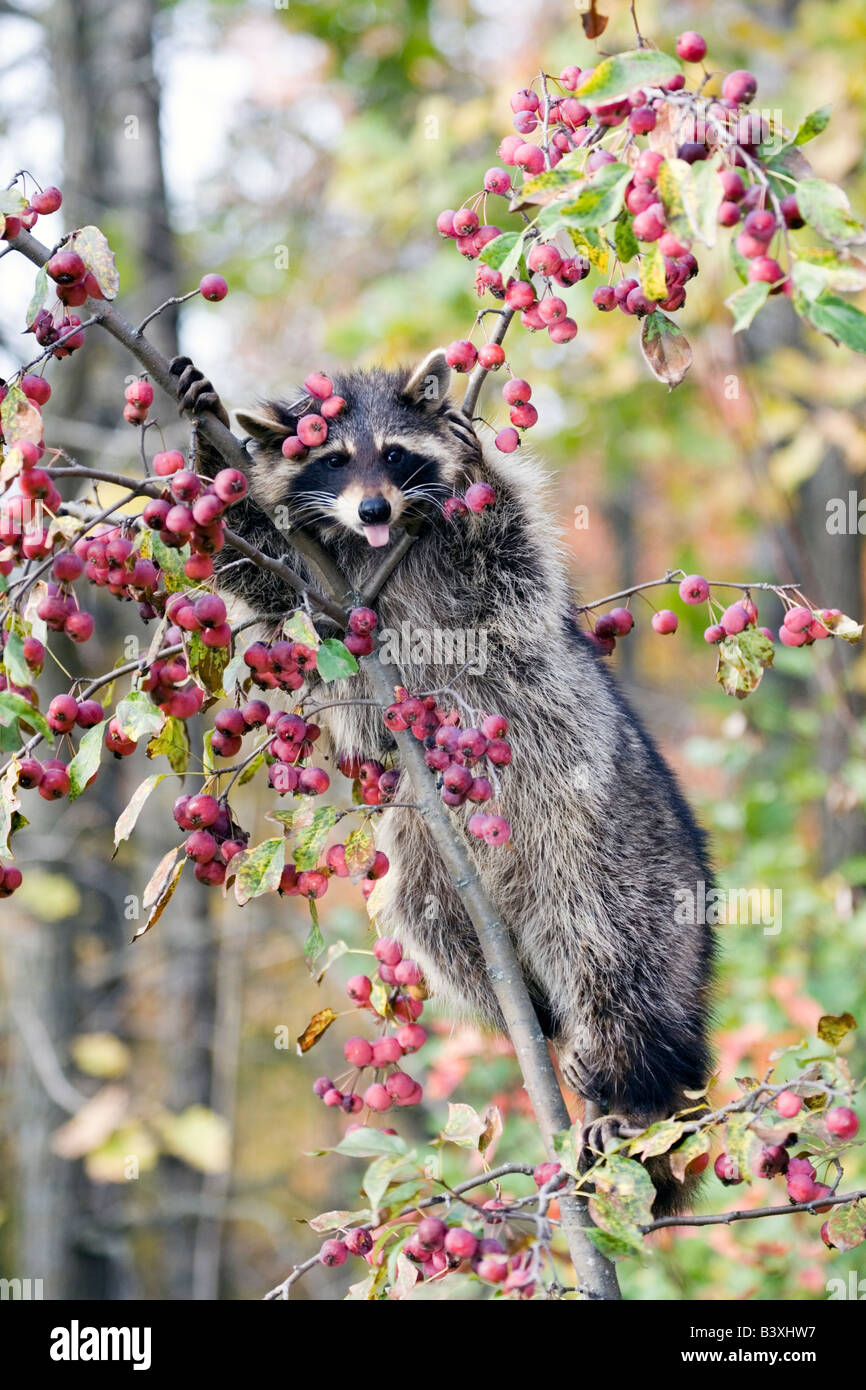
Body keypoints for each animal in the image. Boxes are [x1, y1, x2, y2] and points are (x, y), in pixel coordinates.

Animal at [169, 351, 715, 1214]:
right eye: (332, 458)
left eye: (395, 455)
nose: (372, 506)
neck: (377, 543)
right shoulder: (321, 586)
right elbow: (261, 576)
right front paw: (207, 445)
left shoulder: (487, 585)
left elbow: (508, 555)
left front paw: (478, 465)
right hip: (424, 846)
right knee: (429, 917)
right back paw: (530, 1008)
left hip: (612, 844)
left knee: (610, 957)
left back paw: (631, 1093)